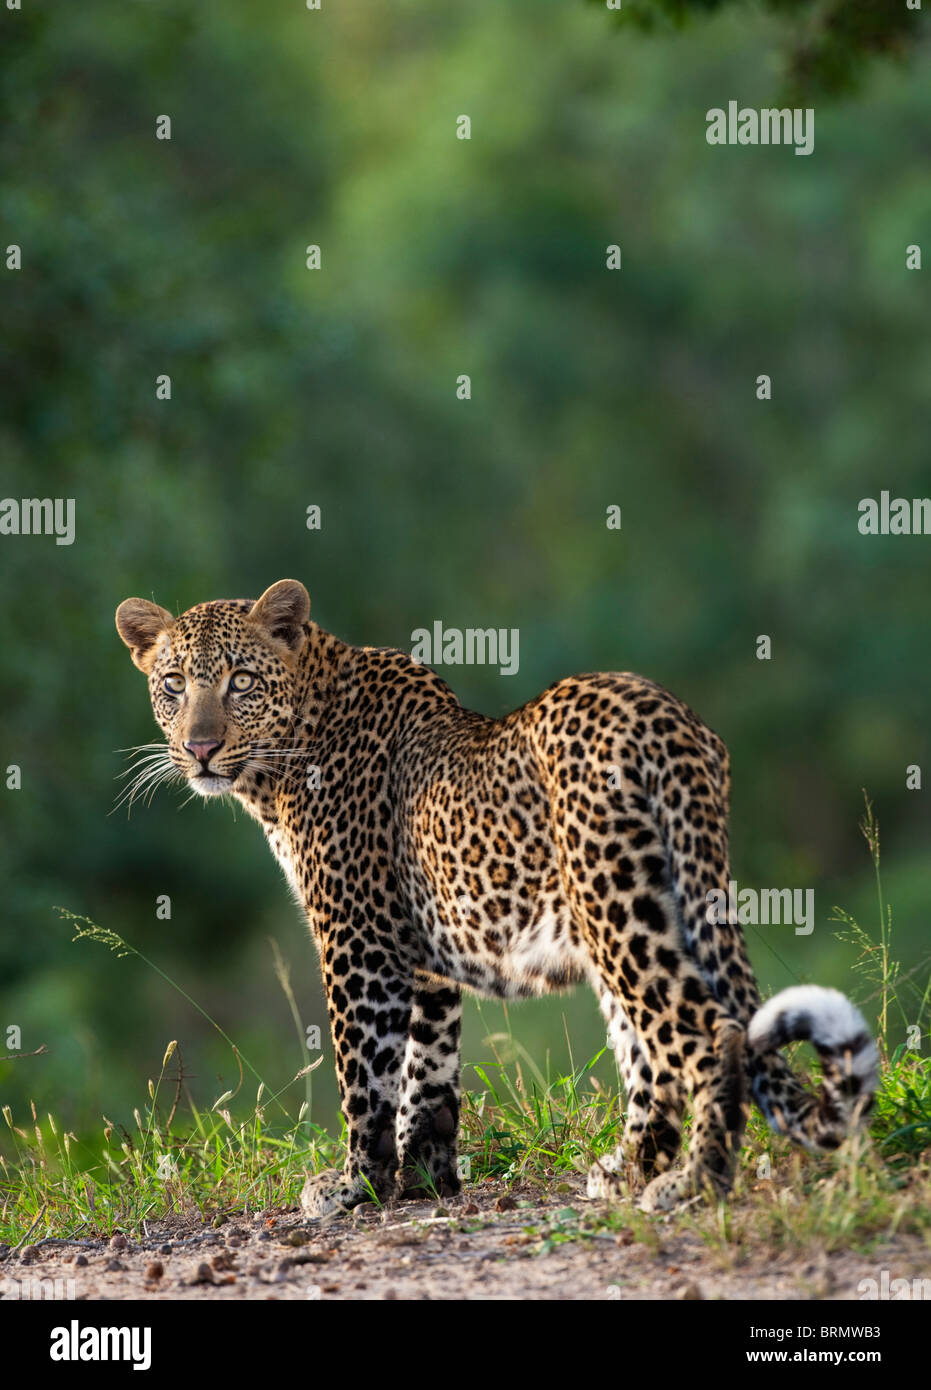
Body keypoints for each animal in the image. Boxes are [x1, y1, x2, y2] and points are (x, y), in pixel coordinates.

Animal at [115, 578, 878, 1216]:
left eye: (240, 681)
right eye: (173, 685)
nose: (200, 747)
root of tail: (665, 716)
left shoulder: (359, 945)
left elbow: (363, 1072)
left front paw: (355, 1185)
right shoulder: (422, 962)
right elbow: (425, 1074)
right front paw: (426, 1178)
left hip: (615, 907)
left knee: (706, 1035)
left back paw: (692, 1181)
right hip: (658, 905)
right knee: (655, 1052)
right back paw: (626, 1170)